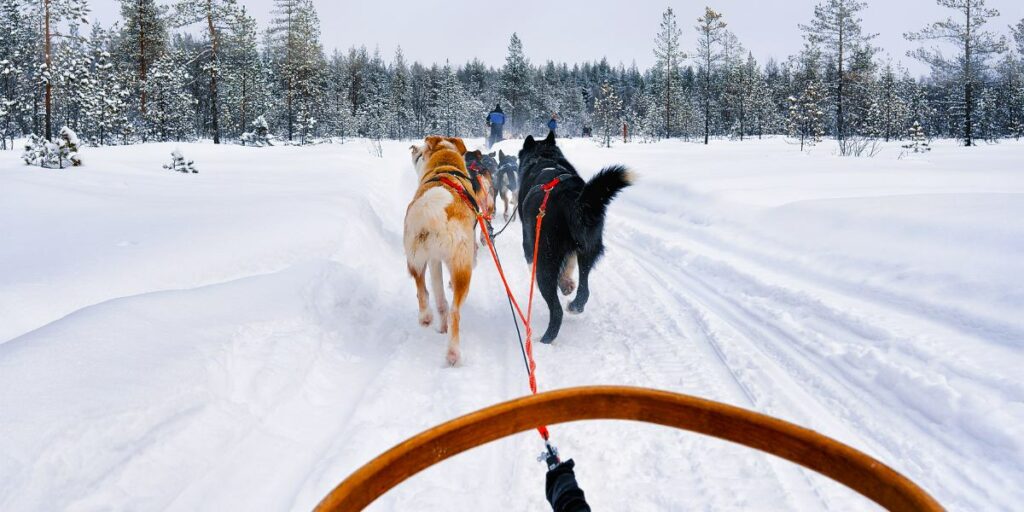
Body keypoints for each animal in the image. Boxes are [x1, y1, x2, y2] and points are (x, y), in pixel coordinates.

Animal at [403, 134, 475, 362]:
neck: (445, 164)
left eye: (420, 154)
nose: (414, 148)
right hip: (462, 268)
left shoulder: (433, 261)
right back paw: (453, 353)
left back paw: (426, 317)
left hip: (415, 257)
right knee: (454, 311)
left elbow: (436, 294)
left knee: (424, 291)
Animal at [520, 131, 630, 344]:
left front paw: (563, 283)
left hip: (546, 260)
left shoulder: (530, 246)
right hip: (589, 247)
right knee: (584, 287)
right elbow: (570, 265)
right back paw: (576, 304)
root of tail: (568, 195)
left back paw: (545, 340)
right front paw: (567, 284)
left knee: (556, 310)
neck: (544, 157)